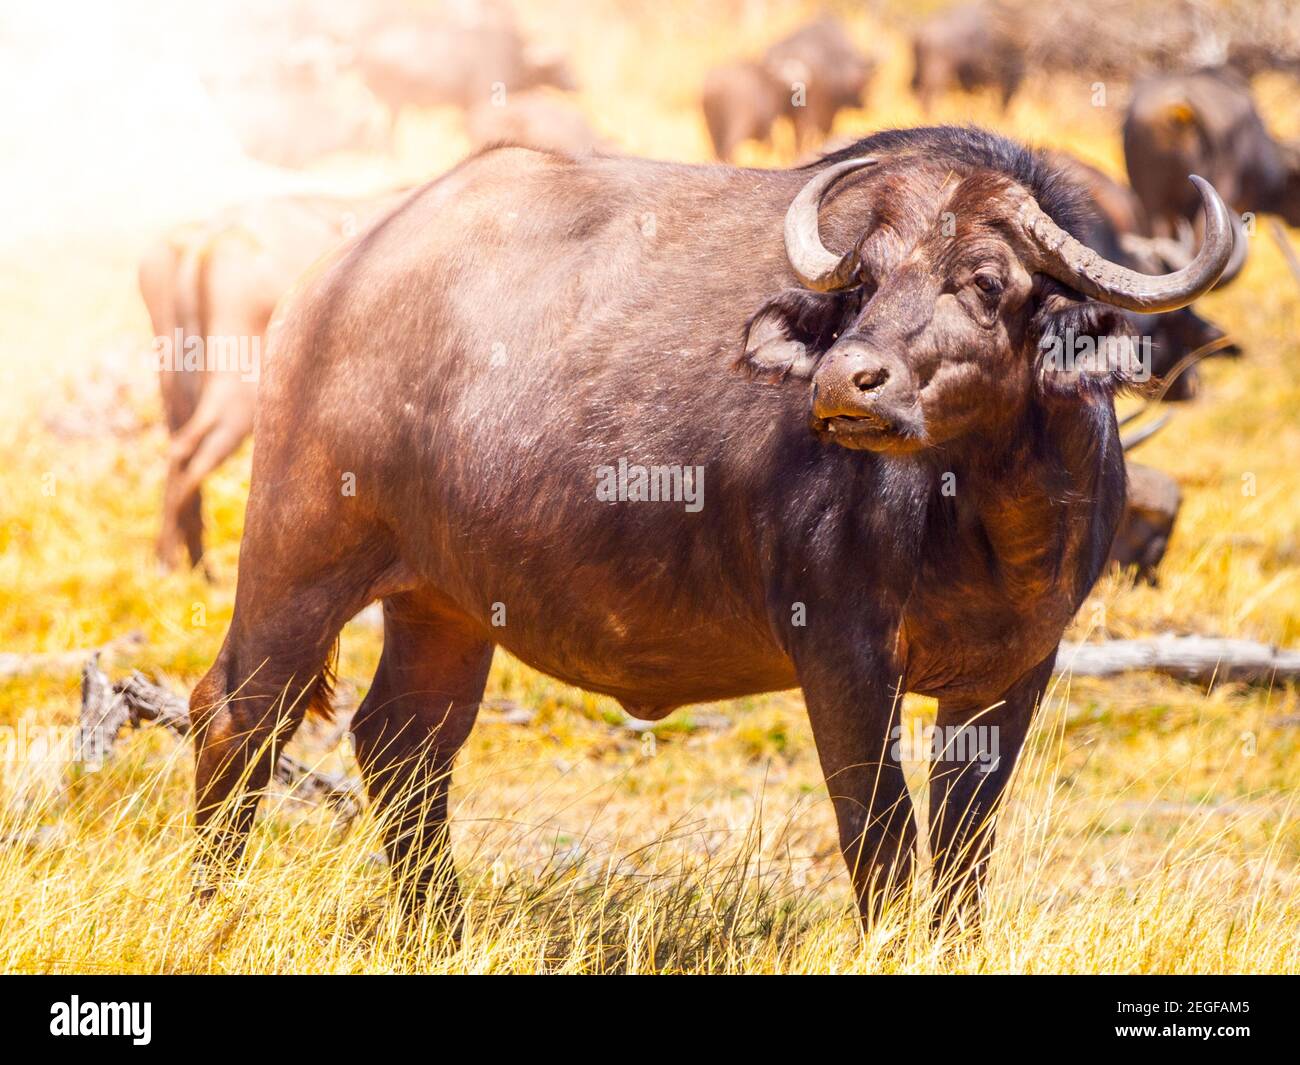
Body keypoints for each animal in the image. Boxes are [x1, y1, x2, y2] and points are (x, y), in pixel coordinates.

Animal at [189, 127, 1231, 932]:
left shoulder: (1014, 669)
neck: (982, 516)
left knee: (403, 745)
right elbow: (881, 835)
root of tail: (331, 281)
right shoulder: (843, 655)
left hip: (442, 602)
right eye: (866, 282)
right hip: (300, 554)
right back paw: (212, 908)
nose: (847, 381)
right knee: (239, 715)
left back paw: (442, 925)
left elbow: (964, 847)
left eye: (986, 281)